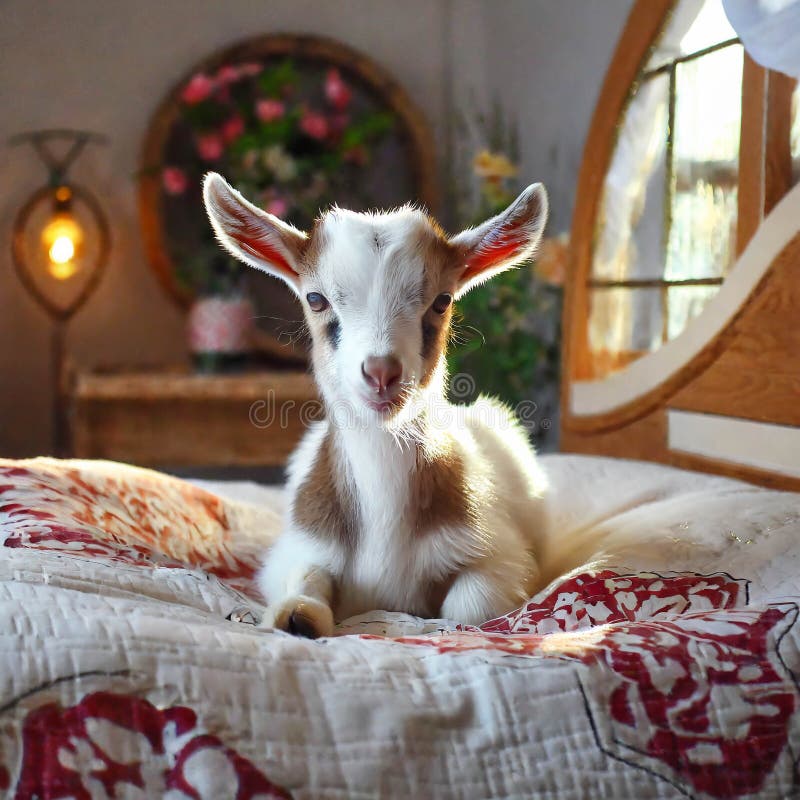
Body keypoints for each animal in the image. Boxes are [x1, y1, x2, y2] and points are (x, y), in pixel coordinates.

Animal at [204, 172, 550, 638]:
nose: (382, 372)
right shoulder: (300, 547)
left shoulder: (502, 555)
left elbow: (469, 608)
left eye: (442, 300)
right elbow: (303, 585)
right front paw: (296, 616)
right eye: (316, 299)